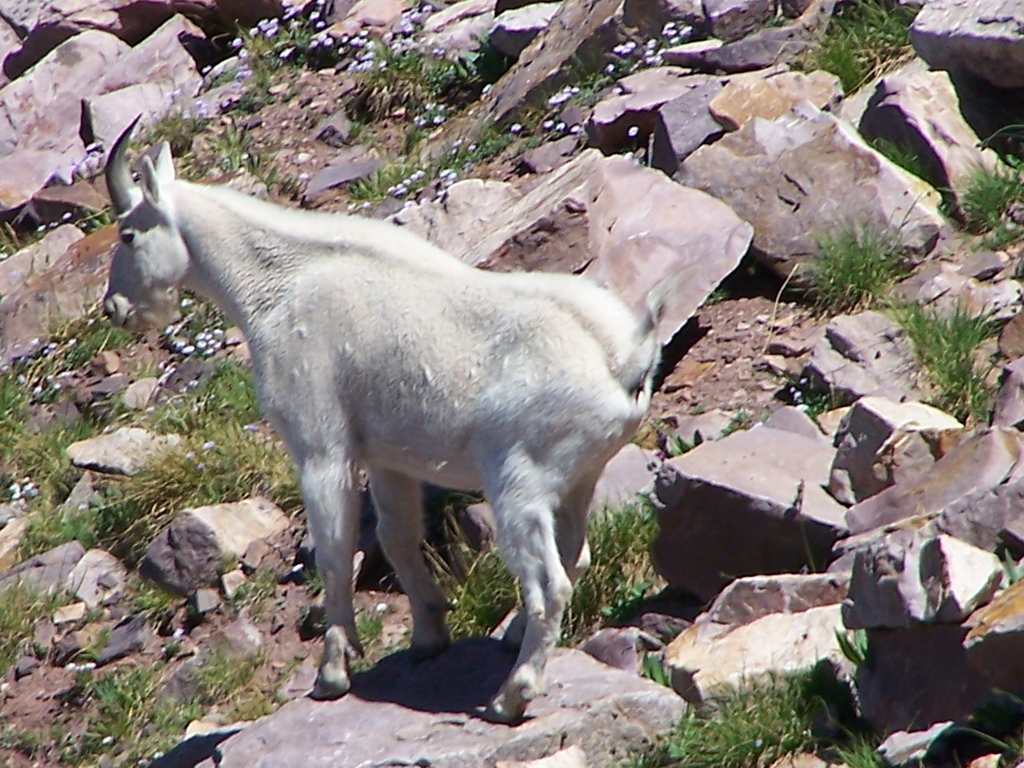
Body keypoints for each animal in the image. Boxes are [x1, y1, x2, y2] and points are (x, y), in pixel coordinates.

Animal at [102, 118, 664, 723]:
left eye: (128, 235)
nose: (115, 308)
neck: (276, 285)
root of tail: (625, 356)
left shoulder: (321, 447)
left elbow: (333, 552)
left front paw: (331, 673)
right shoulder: (391, 459)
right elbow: (397, 538)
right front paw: (427, 638)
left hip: (520, 481)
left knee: (549, 582)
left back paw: (511, 695)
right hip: (579, 479)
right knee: (575, 557)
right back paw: (513, 642)